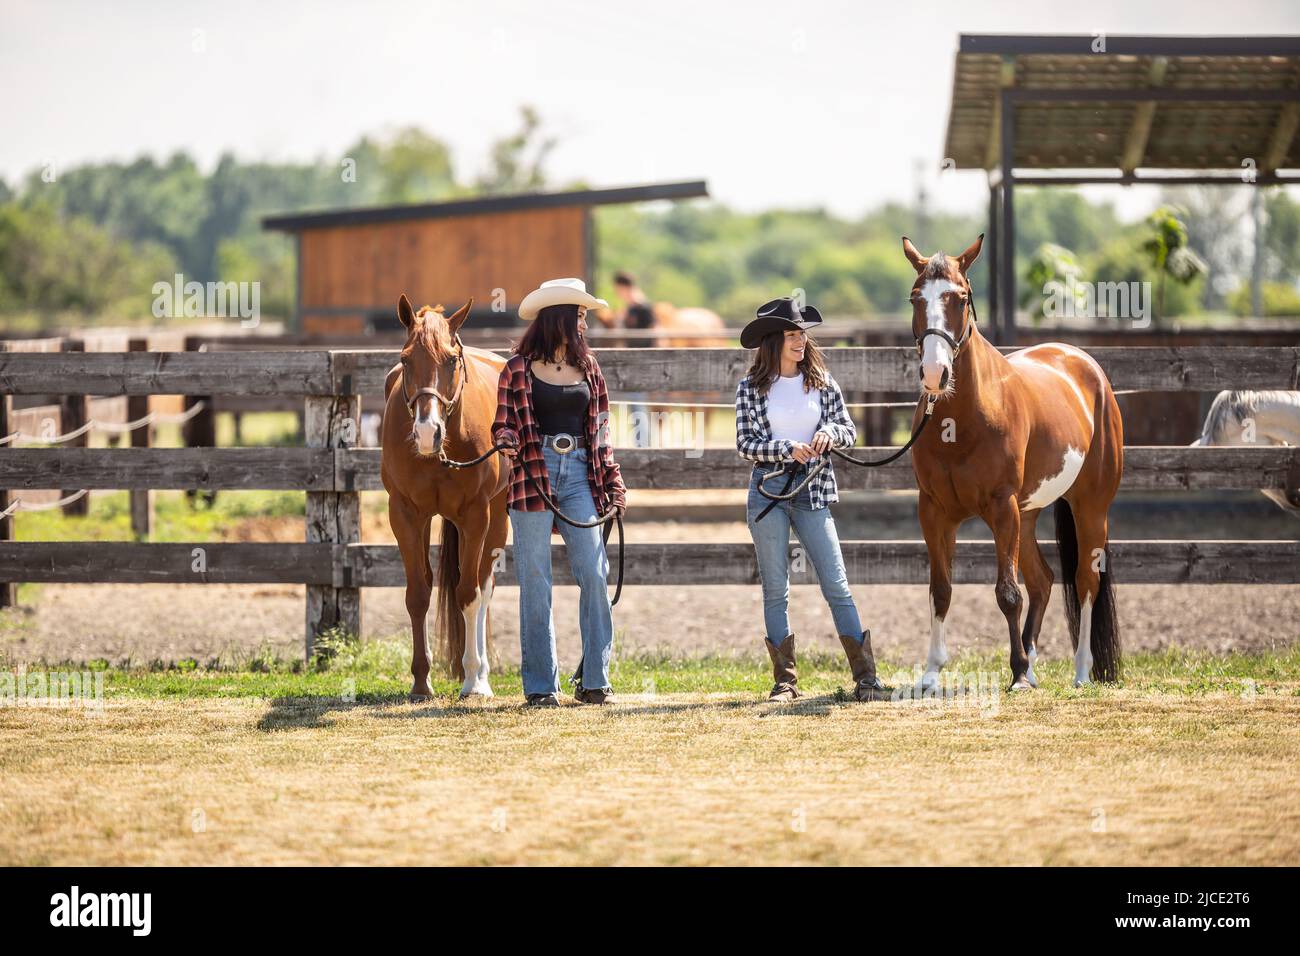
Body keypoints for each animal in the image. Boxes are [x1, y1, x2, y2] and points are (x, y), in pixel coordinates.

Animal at [380, 294, 510, 700]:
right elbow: (418, 594)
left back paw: (481, 675)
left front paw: (472, 680)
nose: (427, 432)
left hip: (497, 517)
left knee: (484, 586)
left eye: (451, 360)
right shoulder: (405, 514)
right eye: (406, 359)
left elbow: (468, 593)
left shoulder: (476, 515)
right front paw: (421, 682)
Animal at [903, 235, 1124, 691]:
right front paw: (931, 672)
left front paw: (1018, 672)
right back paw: (1037, 665)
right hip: (1028, 514)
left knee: (1085, 582)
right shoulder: (934, 511)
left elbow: (1007, 593)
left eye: (961, 298)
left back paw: (1080, 671)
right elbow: (940, 589)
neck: (961, 422)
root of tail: (1084, 365)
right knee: (1043, 580)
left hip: (1089, 508)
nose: (934, 374)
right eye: (916, 298)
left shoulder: (1001, 507)